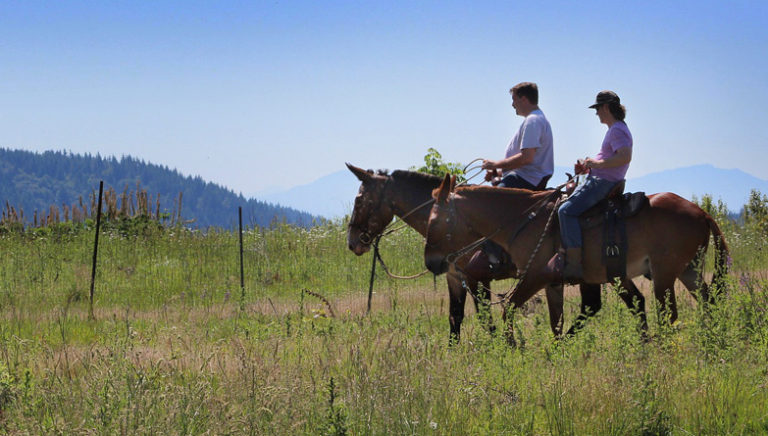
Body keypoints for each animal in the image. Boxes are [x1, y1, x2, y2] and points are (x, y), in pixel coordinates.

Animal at [346, 163, 605, 342]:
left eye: (359, 200)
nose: (352, 242)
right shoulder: (454, 277)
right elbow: (455, 317)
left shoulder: (476, 279)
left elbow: (484, 319)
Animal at [425, 174, 729, 344]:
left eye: (435, 221)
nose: (431, 262)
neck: (526, 219)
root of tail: (702, 213)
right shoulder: (552, 283)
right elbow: (556, 321)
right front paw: (555, 353)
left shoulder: (533, 276)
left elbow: (509, 307)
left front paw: (511, 347)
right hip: (687, 271)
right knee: (707, 302)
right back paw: (709, 343)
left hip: (665, 275)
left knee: (669, 315)